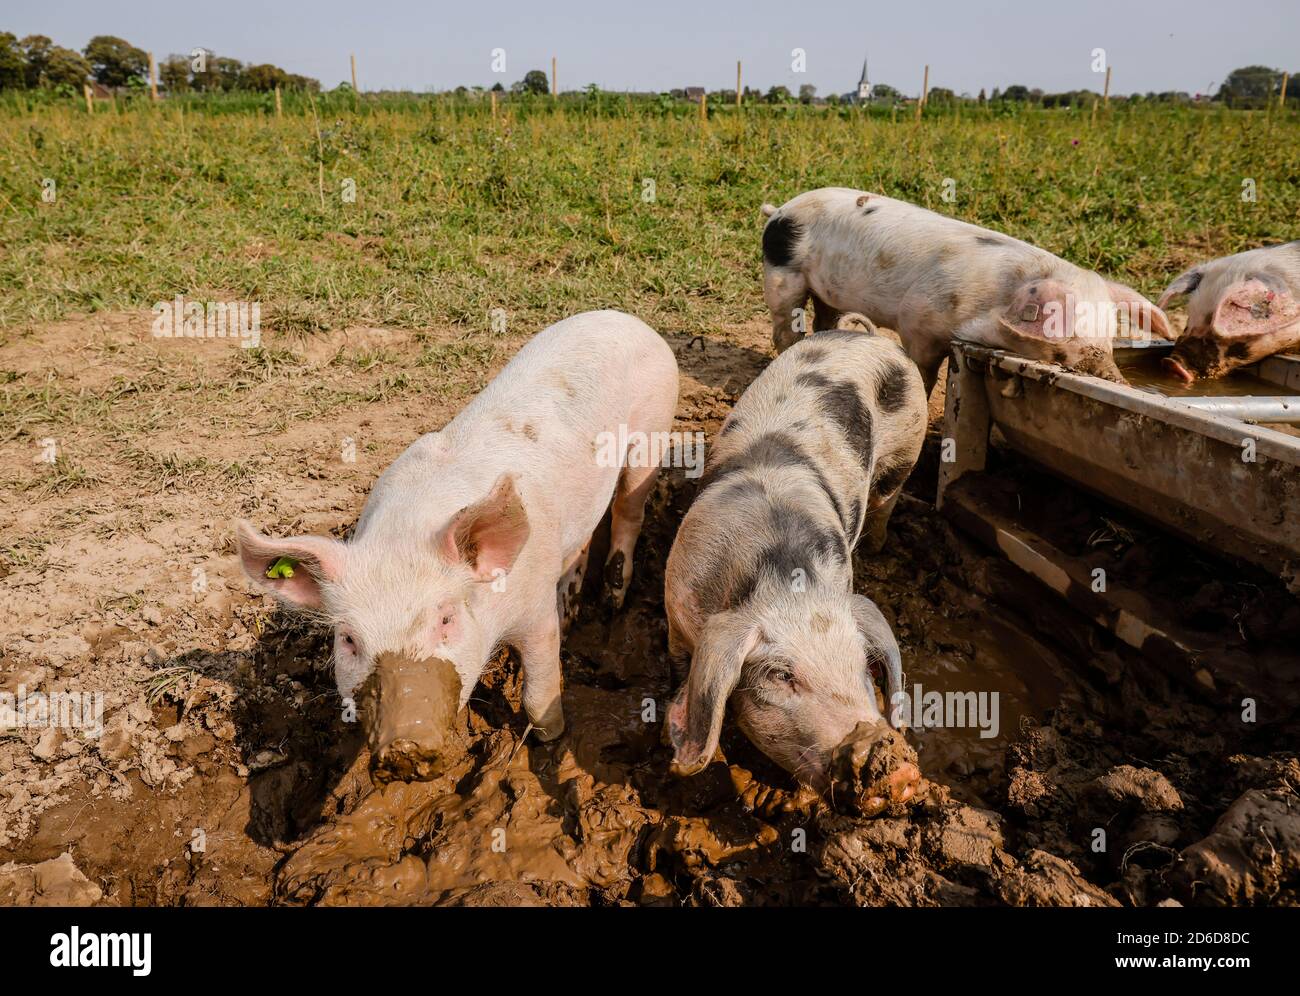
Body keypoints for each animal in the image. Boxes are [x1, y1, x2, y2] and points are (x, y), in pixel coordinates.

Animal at [236, 310, 679, 782]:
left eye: (446, 619)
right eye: (350, 639)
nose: (402, 747)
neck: (405, 534)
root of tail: (624, 319)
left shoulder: (533, 609)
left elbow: (539, 689)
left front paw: (550, 740)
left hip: (653, 430)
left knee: (629, 508)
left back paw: (612, 599)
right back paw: (572, 608)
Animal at [664, 315, 926, 798]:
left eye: (862, 664)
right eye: (780, 675)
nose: (876, 745)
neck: (785, 581)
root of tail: (868, 337)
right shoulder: (678, 606)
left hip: (906, 451)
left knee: (887, 499)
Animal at [760, 188, 1170, 392]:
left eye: (1110, 335)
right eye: (1062, 343)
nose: (1118, 380)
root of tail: (780, 208)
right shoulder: (917, 321)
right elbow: (922, 370)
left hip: (826, 289)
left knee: (824, 317)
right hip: (782, 275)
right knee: (784, 327)